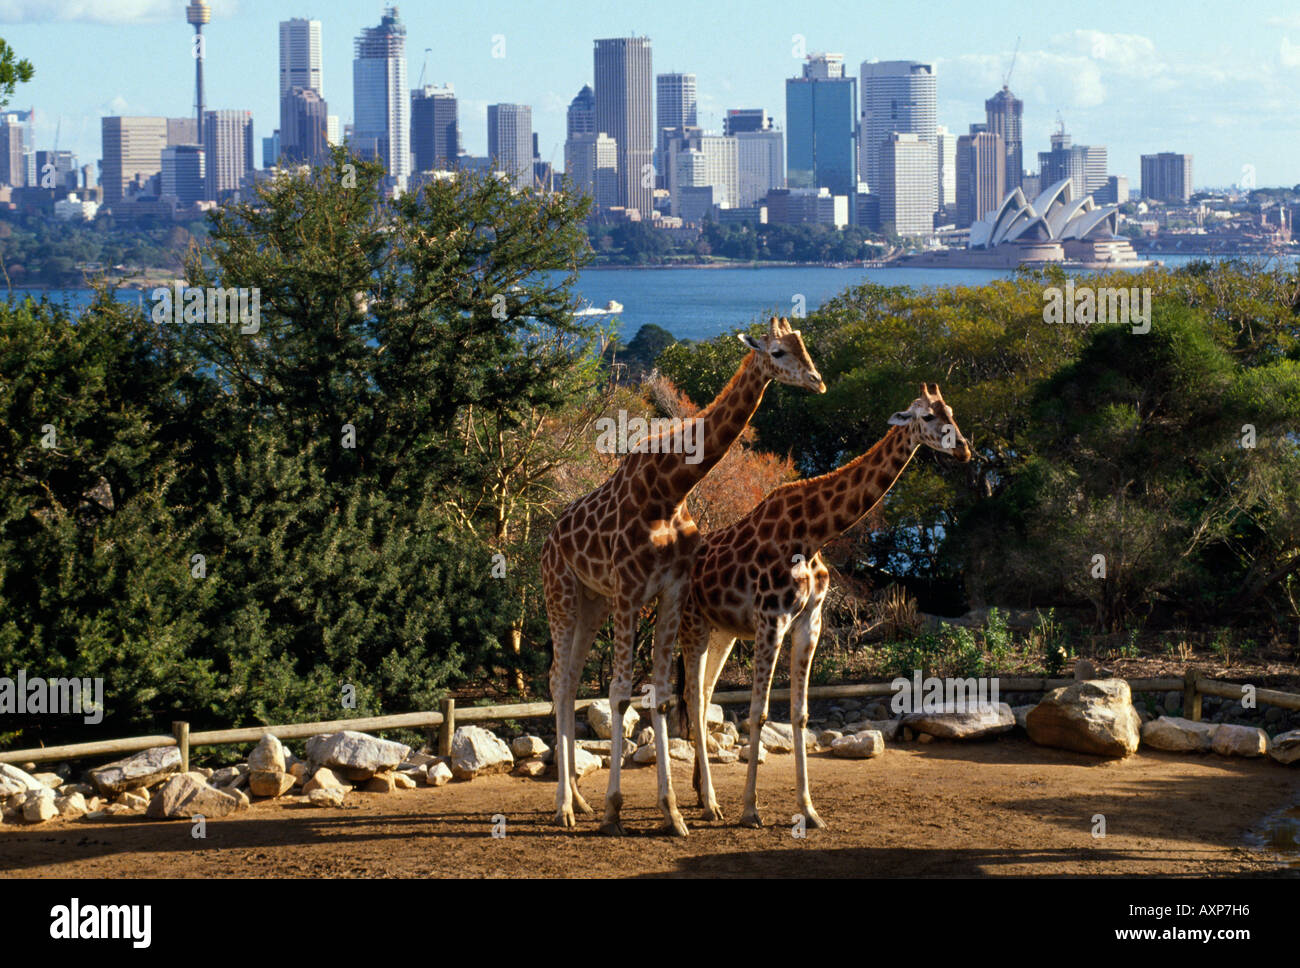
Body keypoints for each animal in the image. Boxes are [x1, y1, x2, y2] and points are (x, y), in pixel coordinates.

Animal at [542, 316, 825, 836]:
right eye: (777, 352)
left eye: (803, 346)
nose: (817, 381)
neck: (668, 490)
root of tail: (547, 543)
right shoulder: (629, 592)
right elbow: (619, 695)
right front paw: (616, 810)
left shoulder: (670, 591)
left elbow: (659, 696)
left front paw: (671, 812)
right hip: (563, 593)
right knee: (559, 681)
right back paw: (566, 807)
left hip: (593, 602)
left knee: (567, 679)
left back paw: (578, 801)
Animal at [678, 383, 971, 829]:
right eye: (927, 417)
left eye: (951, 410)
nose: (966, 450)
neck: (813, 533)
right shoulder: (771, 620)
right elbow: (758, 712)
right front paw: (750, 810)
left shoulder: (808, 622)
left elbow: (800, 714)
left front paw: (809, 810)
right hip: (690, 622)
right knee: (691, 698)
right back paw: (710, 803)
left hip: (722, 630)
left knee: (705, 694)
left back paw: (699, 793)